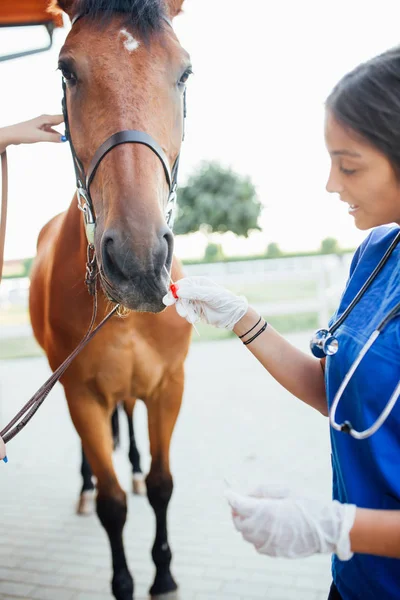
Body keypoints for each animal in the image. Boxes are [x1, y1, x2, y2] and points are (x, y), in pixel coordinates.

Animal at [28, 2, 192, 596]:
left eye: (183, 72)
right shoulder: (81, 397)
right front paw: (125, 581)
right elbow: (112, 505)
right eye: (67, 71)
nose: (140, 259)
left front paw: (163, 573)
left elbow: (165, 485)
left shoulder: (169, 387)